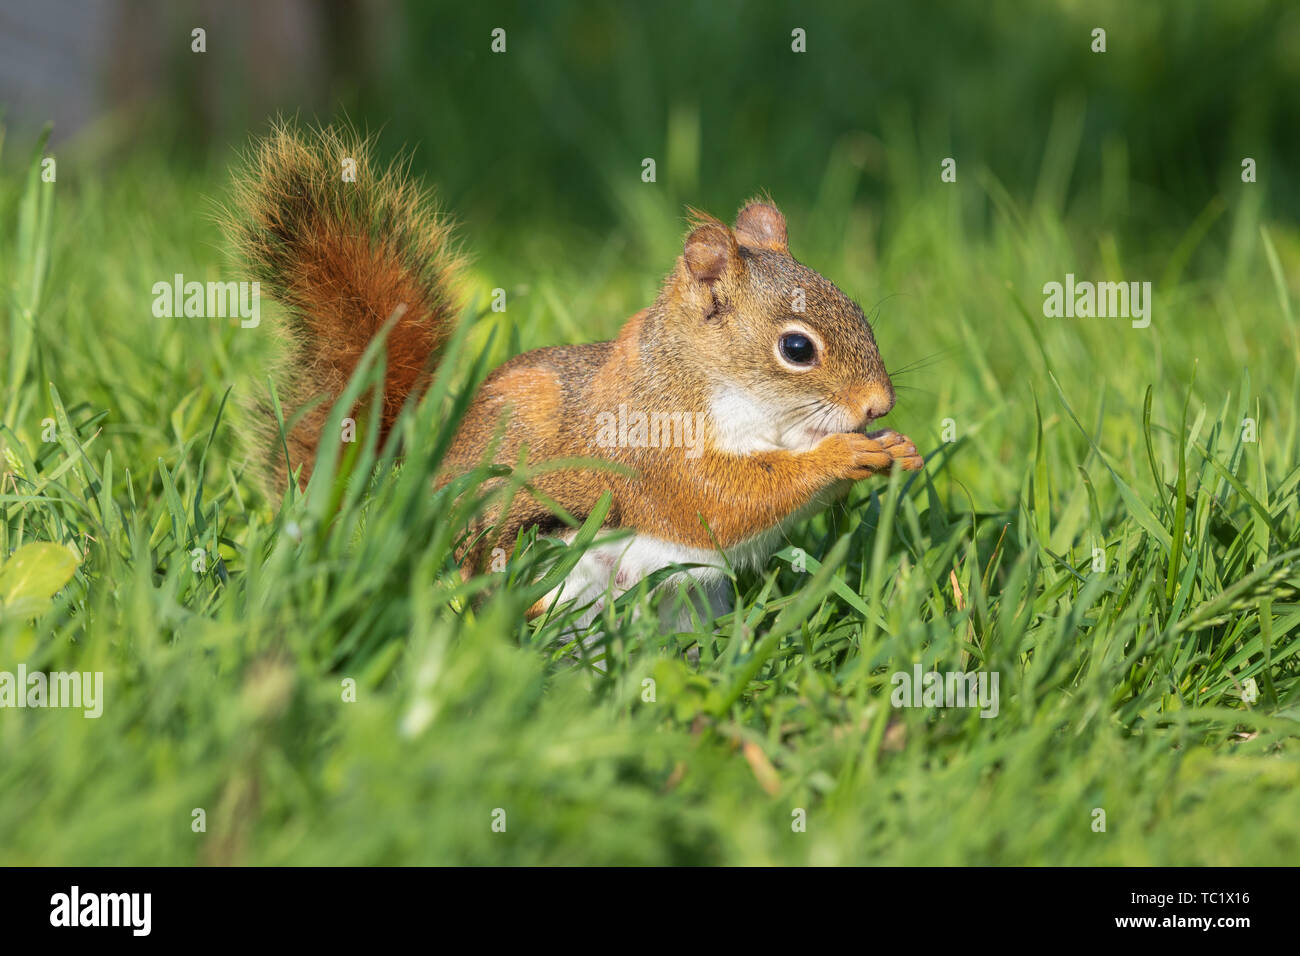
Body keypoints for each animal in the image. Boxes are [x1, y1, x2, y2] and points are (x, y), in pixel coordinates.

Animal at [225, 123, 923, 625]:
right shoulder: (650, 446)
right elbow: (722, 500)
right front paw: (842, 456)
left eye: (857, 309)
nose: (878, 405)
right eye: (797, 348)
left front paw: (894, 450)